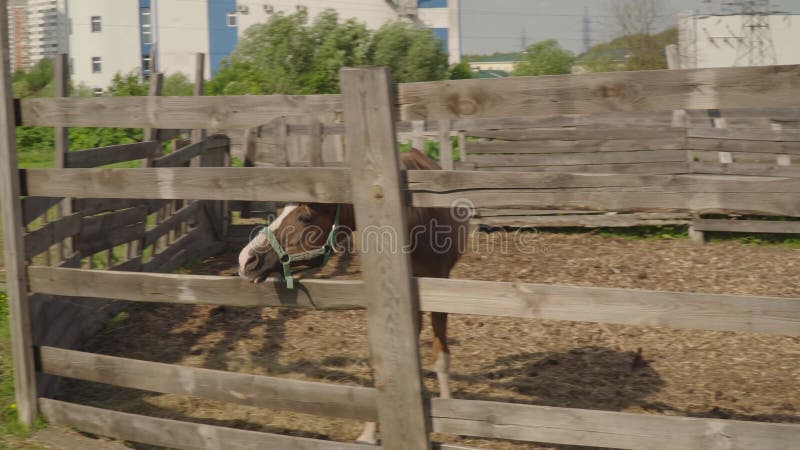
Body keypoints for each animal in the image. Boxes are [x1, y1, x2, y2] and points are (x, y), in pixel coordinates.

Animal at [238, 148, 468, 444]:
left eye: (304, 218)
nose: (246, 259)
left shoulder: (441, 287)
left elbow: (440, 356)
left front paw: (449, 411)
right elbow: (381, 363)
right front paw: (369, 433)